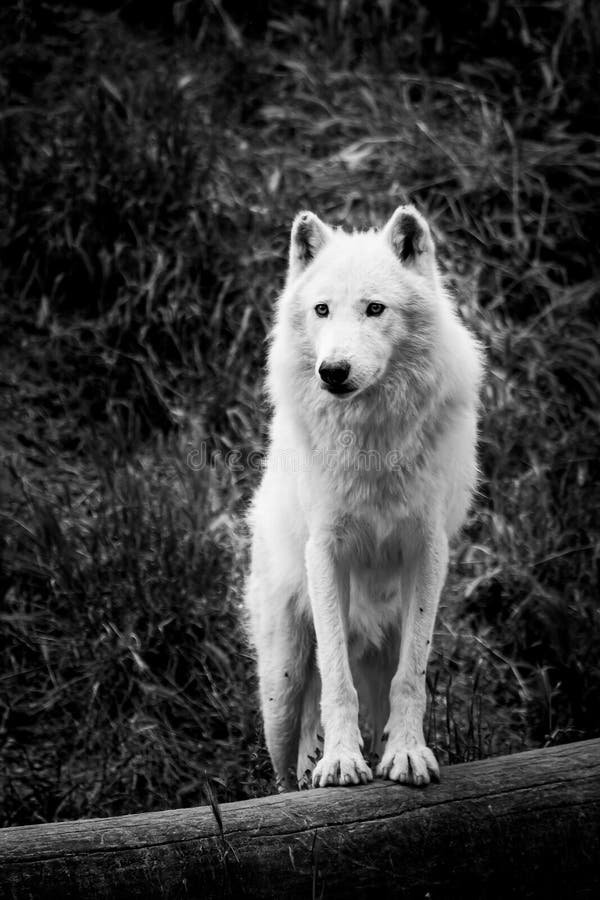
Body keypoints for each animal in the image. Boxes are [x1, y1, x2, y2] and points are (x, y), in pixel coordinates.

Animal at [245, 204, 483, 789]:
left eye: (375, 309)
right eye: (322, 309)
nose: (332, 371)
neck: (372, 440)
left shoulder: (428, 550)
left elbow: (412, 678)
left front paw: (407, 756)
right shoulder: (325, 552)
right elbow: (335, 677)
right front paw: (340, 763)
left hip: (378, 643)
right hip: (281, 685)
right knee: (285, 765)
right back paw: (308, 778)